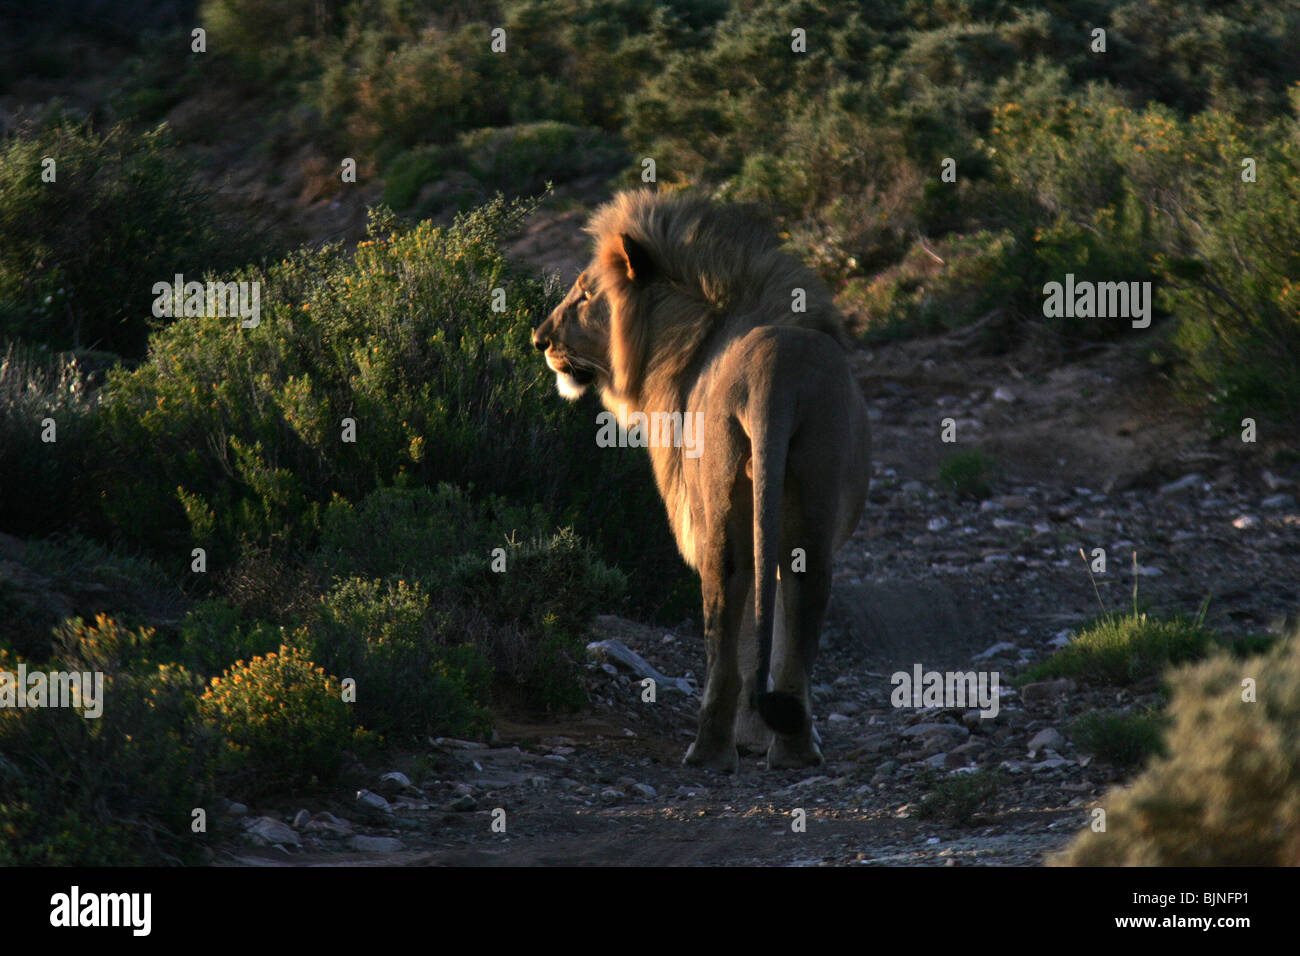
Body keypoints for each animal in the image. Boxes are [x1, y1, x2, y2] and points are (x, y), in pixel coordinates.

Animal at [531, 190, 871, 771]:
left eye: (584, 295)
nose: (539, 339)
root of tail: (775, 374)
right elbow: (771, 630)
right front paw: (760, 736)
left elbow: (744, 639)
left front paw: (747, 737)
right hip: (812, 502)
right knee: (800, 618)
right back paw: (796, 751)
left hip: (717, 512)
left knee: (723, 635)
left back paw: (708, 750)